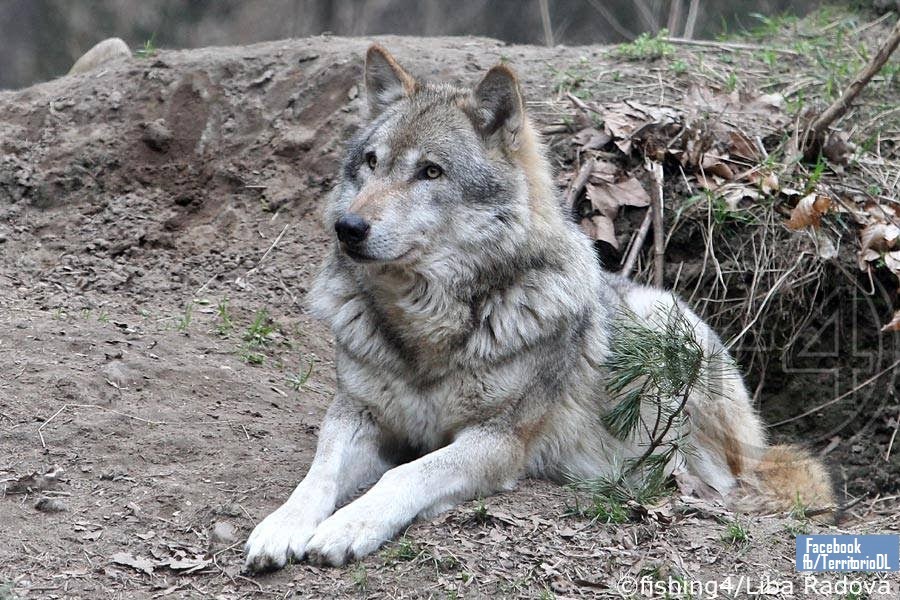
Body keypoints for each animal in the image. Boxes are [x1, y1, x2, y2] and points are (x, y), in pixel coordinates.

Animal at [244, 45, 833, 571]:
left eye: (430, 172)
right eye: (371, 163)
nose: (349, 228)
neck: (426, 327)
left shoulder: (498, 440)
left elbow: (406, 475)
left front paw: (348, 525)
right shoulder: (356, 413)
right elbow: (319, 472)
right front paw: (282, 526)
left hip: (669, 329)